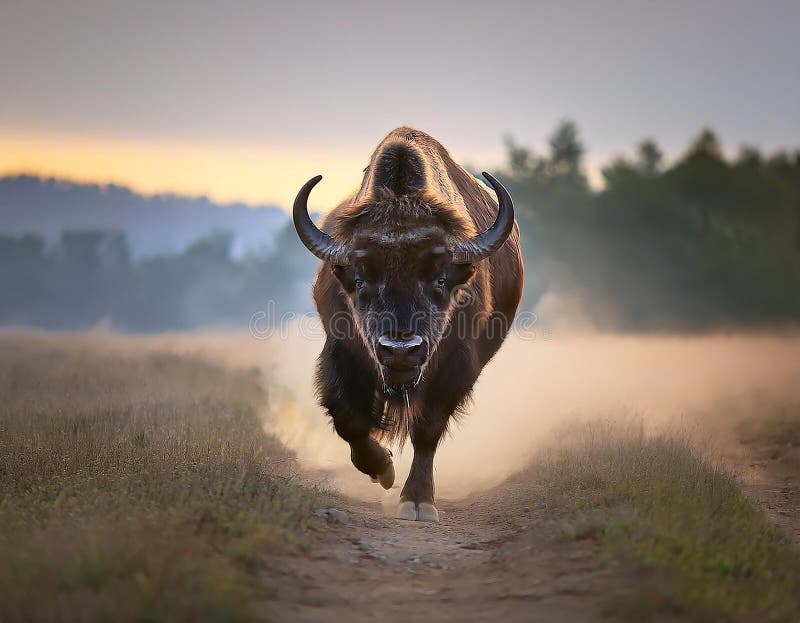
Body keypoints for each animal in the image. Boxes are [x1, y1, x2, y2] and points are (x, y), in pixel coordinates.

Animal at [293, 127, 523, 521]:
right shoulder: (343, 351)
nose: (400, 350)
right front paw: (383, 469)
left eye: (441, 279)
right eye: (359, 279)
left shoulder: (455, 365)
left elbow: (427, 428)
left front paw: (417, 502)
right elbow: (348, 417)